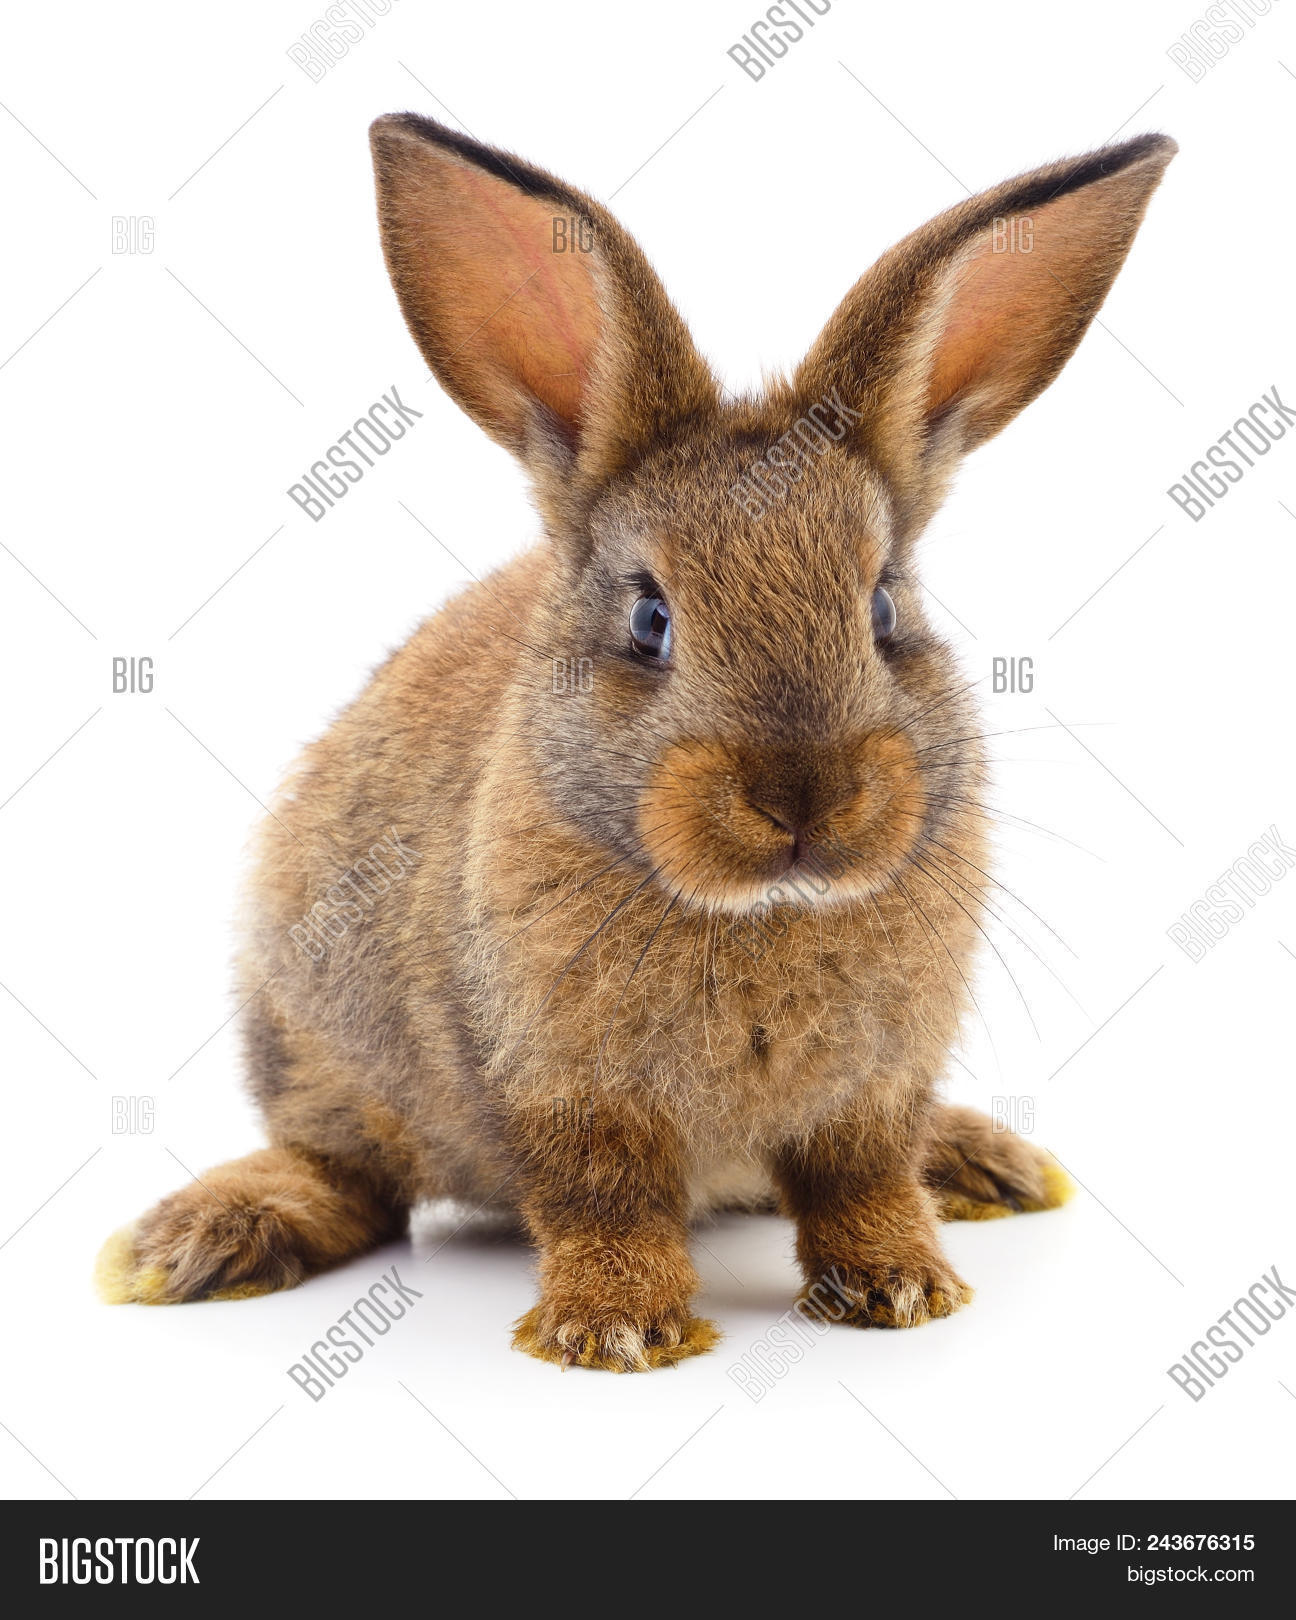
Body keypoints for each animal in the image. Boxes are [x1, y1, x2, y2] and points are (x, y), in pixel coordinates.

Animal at [96, 114, 1175, 1370]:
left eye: (883, 609)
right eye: (650, 619)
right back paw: (200, 1241)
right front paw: (615, 1331)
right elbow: (604, 1200)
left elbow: (861, 1186)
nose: (803, 800)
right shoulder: (571, 1096)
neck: (762, 912)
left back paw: (985, 1165)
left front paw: (902, 1288)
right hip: (320, 1046)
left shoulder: (868, 1099)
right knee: (349, 1173)